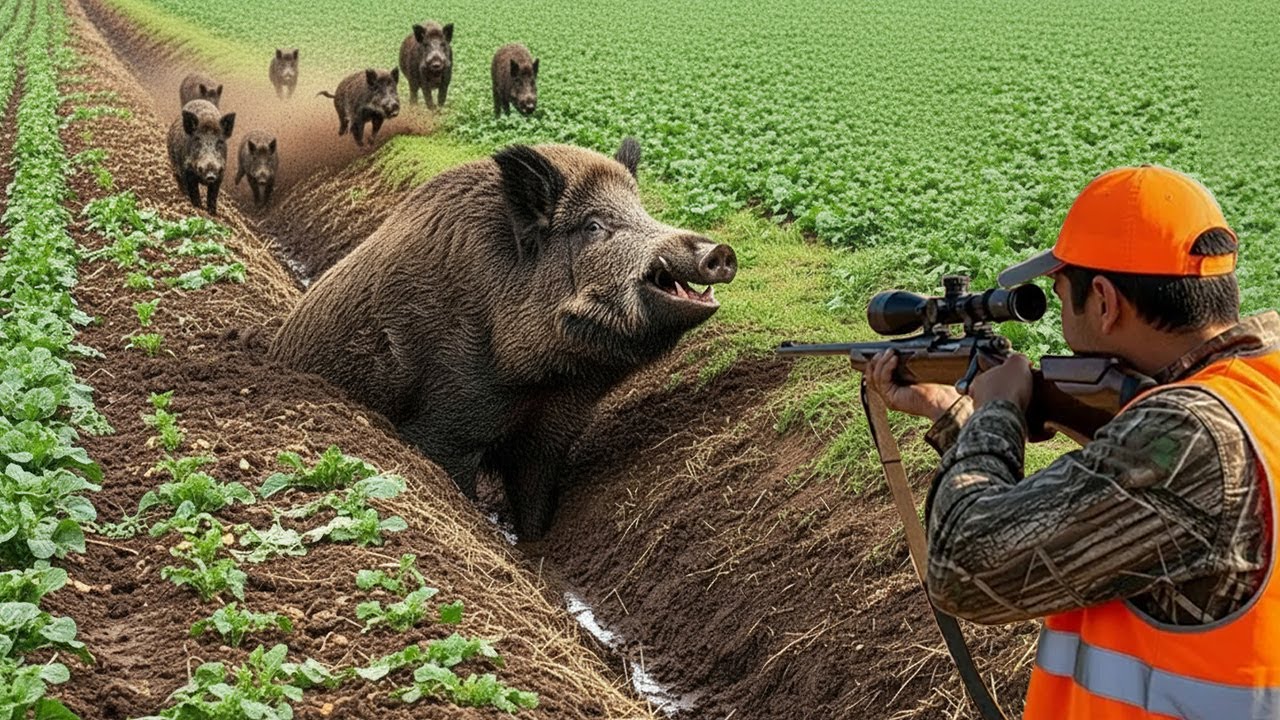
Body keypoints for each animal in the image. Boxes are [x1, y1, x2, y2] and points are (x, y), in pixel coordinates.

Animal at [269, 139, 737, 539]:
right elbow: (455, 482)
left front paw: (533, 546)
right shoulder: (445, 423)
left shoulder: (549, 437)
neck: (546, 382)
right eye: (593, 225)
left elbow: (535, 505)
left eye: (641, 210)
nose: (720, 251)